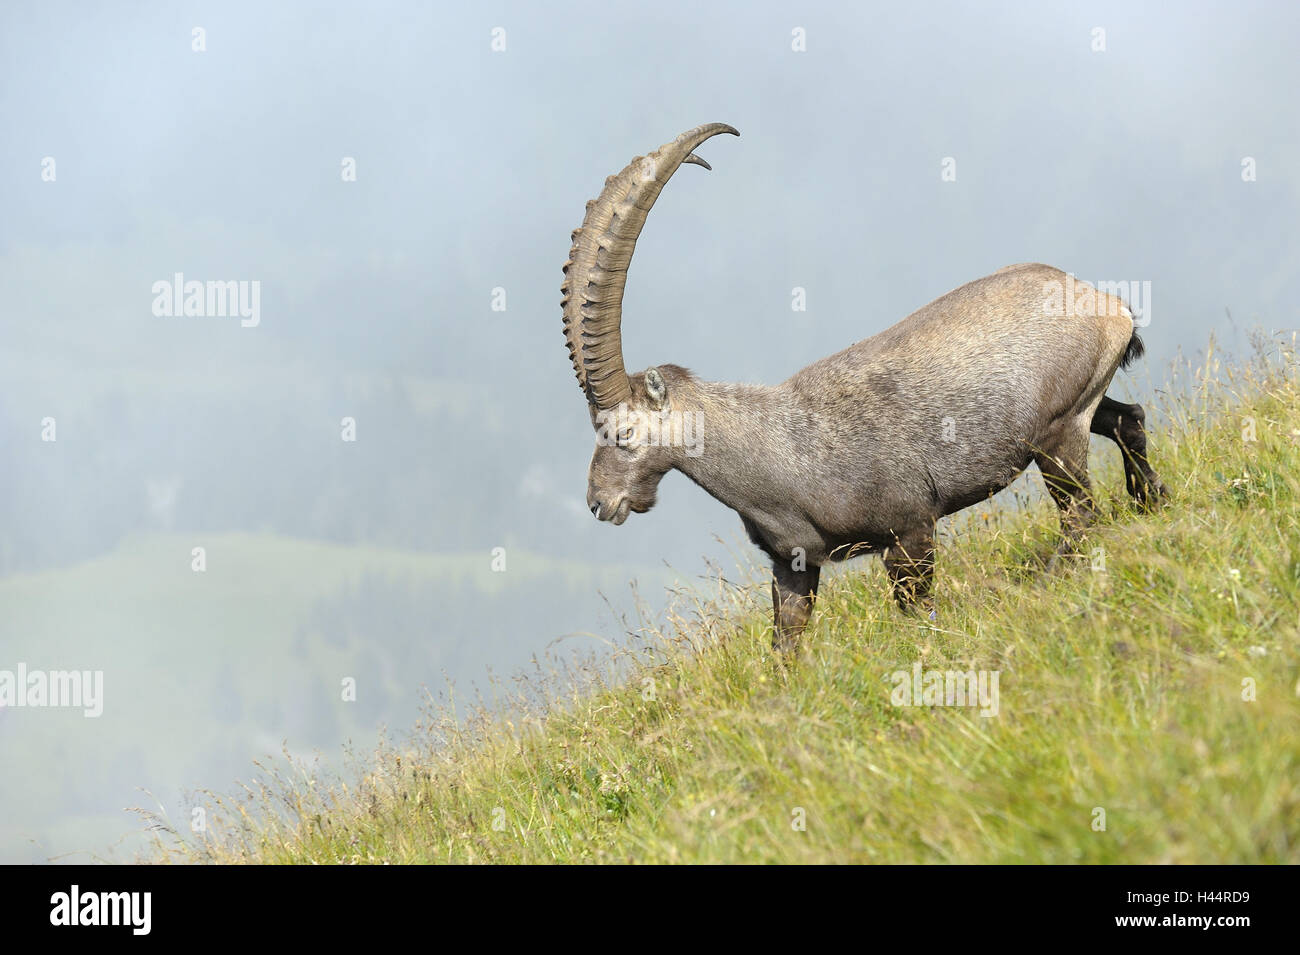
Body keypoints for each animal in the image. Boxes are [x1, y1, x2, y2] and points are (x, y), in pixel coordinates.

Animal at [561, 123, 1167, 652]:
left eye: (623, 433)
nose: (599, 503)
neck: (777, 450)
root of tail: (1104, 303)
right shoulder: (793, 565)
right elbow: (785, 647)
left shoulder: (909, 531)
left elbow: (919, 614)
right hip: (1077, 408)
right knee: (1128, 417)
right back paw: (1154, 501)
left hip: (1057, 436)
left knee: (1080, 512)